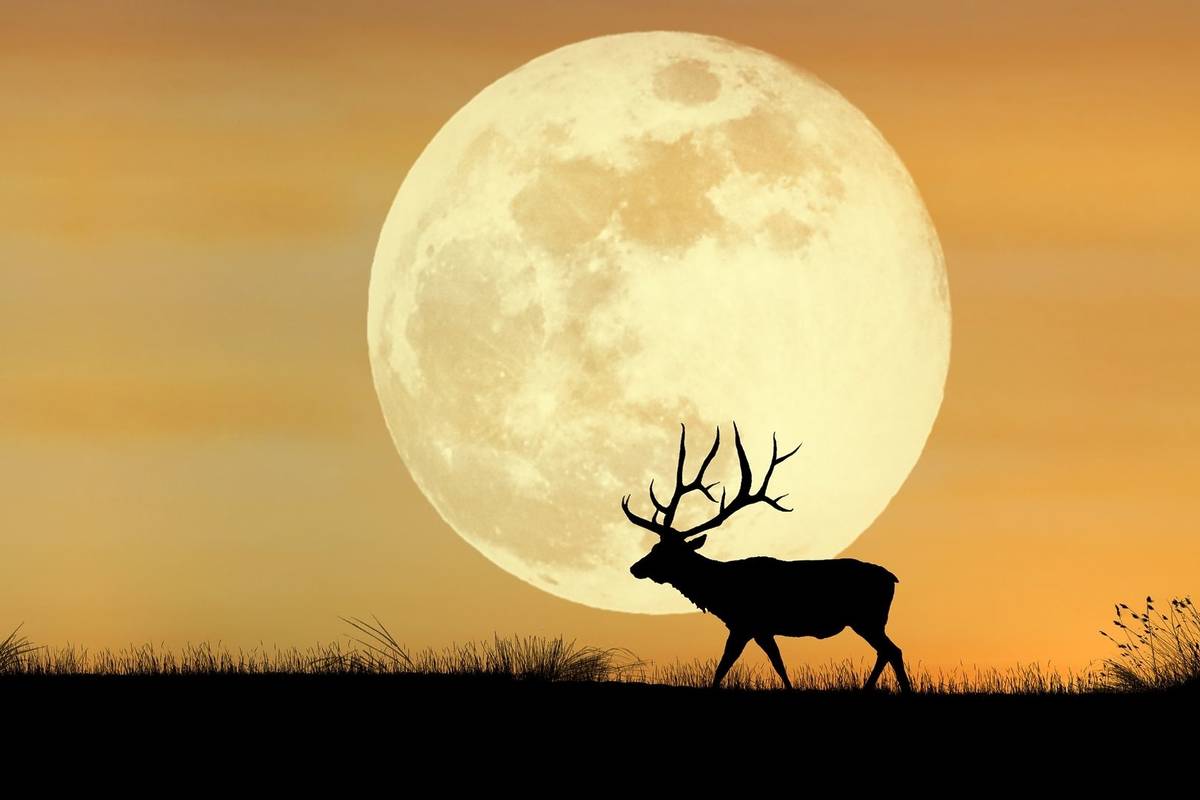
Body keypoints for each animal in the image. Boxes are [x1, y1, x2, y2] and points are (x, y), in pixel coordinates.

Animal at [621, 422, 912, 693]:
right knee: (887, 651)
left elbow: (725, 665)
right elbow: (777, 663)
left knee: (892, 650)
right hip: (869, 621)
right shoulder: (761, 629)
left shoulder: (745, 623)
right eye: (654, 547)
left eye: (665, 552)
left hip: (867, 618)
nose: (635, 568)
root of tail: (892, 578)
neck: (720, 591)